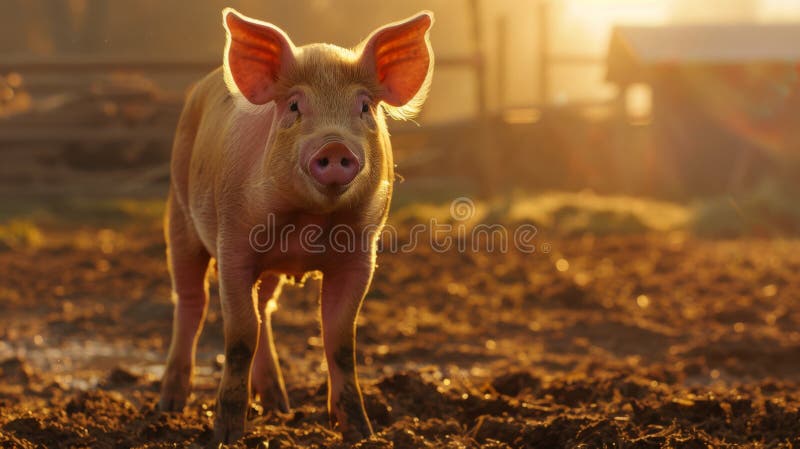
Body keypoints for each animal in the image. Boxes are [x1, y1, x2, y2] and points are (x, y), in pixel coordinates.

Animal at [157, 7, 434, 444]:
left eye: (365, 106)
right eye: (293, 106)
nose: (334, 145)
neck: (308, 222)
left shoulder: (360, 257)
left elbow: (340, 341)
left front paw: (361, 433)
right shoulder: (233, 247)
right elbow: (240, 336)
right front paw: (227, 436)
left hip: (266, 268)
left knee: (264, 311)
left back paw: (278, 405)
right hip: (180, 219)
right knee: (191, 302)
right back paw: (168, 406)